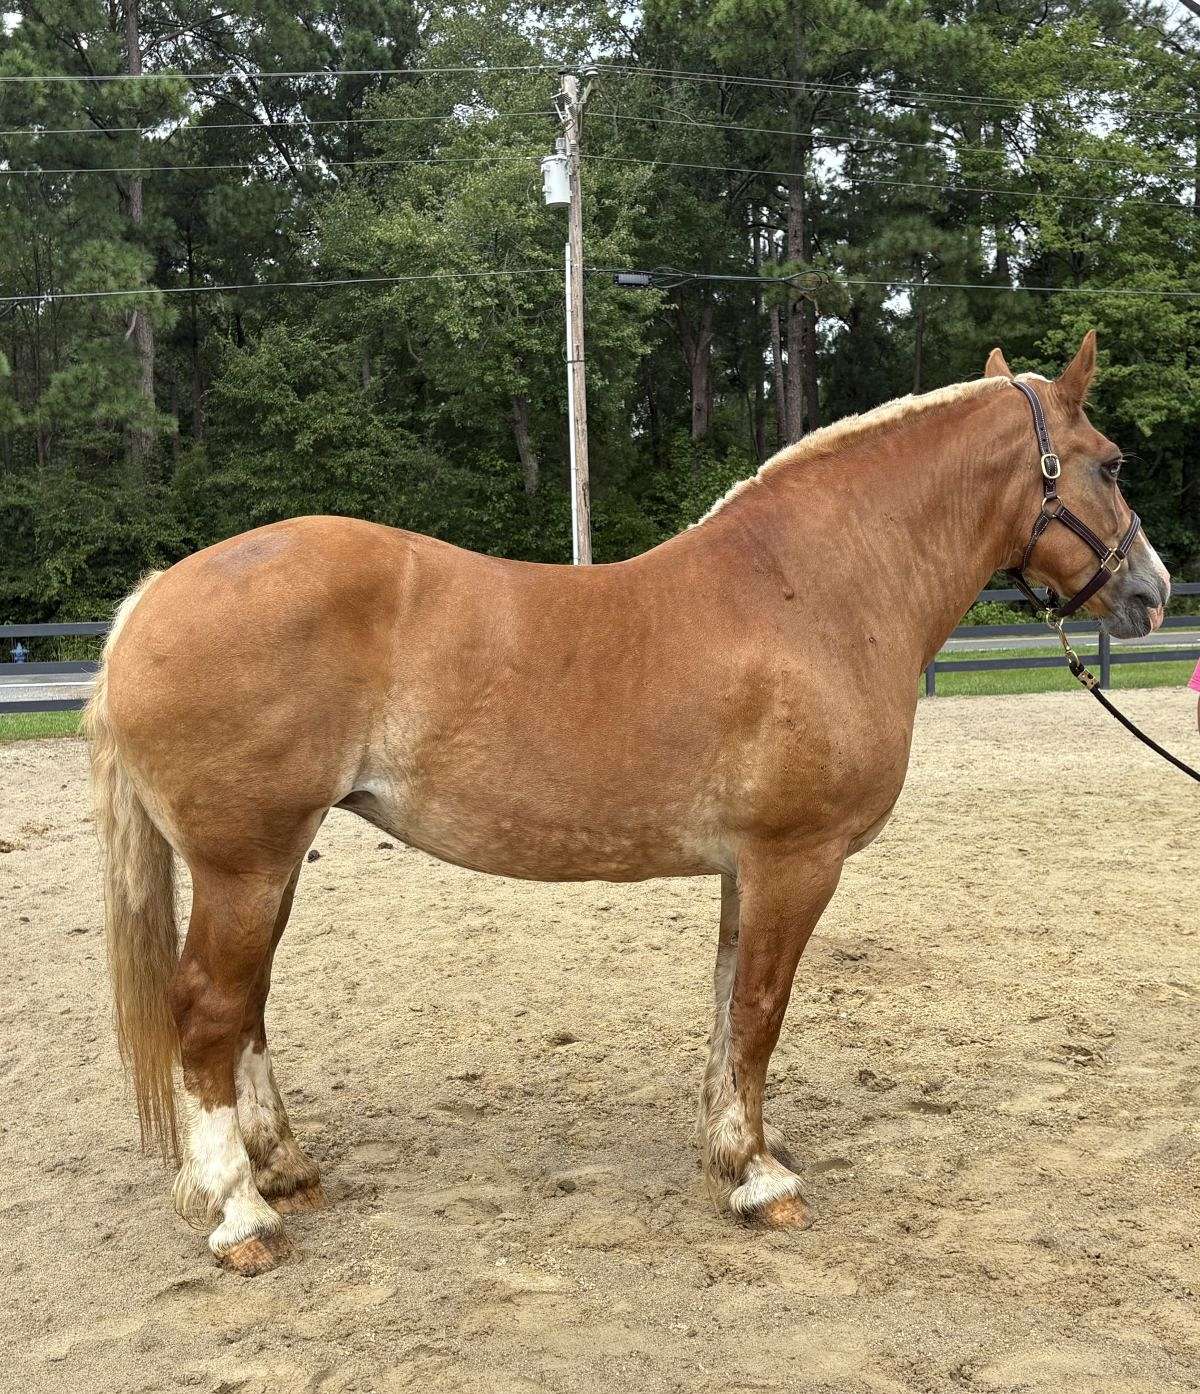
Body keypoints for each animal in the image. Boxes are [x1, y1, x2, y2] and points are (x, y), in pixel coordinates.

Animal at [85, 332, 1170, 1275]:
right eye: (1111, 464)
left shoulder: (748, 867)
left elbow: (730, 1006)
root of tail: (155, 596)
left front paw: (733, 1153)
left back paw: (286, 1170)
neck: (813, 591)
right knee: (210, 1011)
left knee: (249, 1010)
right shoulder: (797, 859)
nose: (1153, 592)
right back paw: (240, 1215)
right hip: (245, 864)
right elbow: (763, 1010)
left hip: (268, 867)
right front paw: (763, 1180)